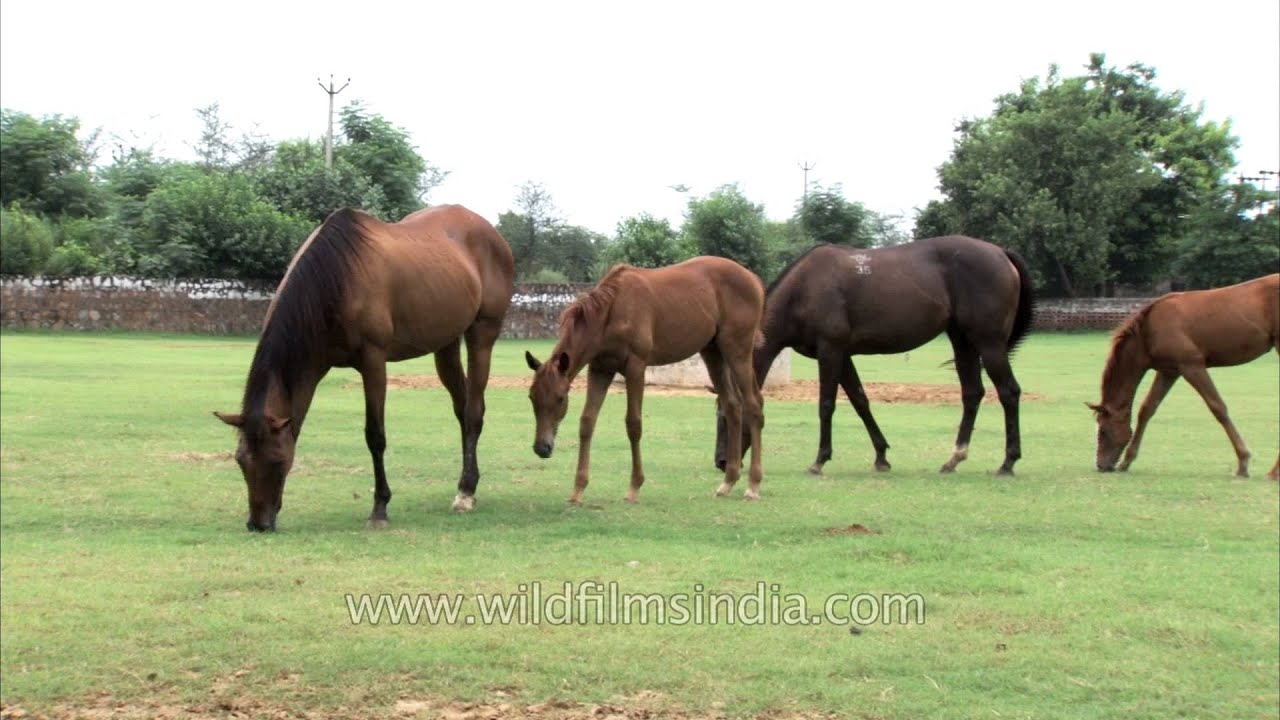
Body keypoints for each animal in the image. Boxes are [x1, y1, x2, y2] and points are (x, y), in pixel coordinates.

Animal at [214, 205, 514, 531]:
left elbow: (375, 436)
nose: (258, 523)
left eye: (277, 460)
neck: (338, 279)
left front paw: (380, 507)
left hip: (482, 333)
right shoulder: (316, 366)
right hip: (445, 342)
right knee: (462, 408)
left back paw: (466, 492)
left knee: (473, 412)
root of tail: (492, 233)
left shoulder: (373, 361)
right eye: (240, 460)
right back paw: (465, 485)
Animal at [525, 256, 766, 504]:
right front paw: (578, 489)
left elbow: (633, 424)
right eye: (532, 397)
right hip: (713, 353)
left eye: (560, 398)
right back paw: (728, 482)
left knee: (753, 406)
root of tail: (753, 279)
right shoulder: (600, 369)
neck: (611, 311)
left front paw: (634, 486)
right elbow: (587, 422)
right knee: (733, 406)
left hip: (737, 351)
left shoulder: (635, 367)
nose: (542, 448)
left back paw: (753, 484)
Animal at [716, 236, 1035, 476]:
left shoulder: (830, 351)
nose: (721, 462)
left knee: (1009, 392)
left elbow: (826, 405)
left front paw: (819, 460)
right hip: (963, 342)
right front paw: (881, 456)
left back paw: (1008, 462)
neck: (803, 290)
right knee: (972, 393)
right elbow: (860, 401)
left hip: (989, 343)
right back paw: (954, 458)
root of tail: (1000, 252)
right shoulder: (842, 355)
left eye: (726, 417)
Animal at [1088, 273, 1279, 479]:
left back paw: (1273, 472)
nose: (1101, 465)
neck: (1148, 332)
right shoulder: (1169, 371)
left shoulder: (1191, 366)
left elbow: (1218, 408)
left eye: (1103, 431)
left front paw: (1243, 462)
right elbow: (1147, 409)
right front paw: (1127, 461)